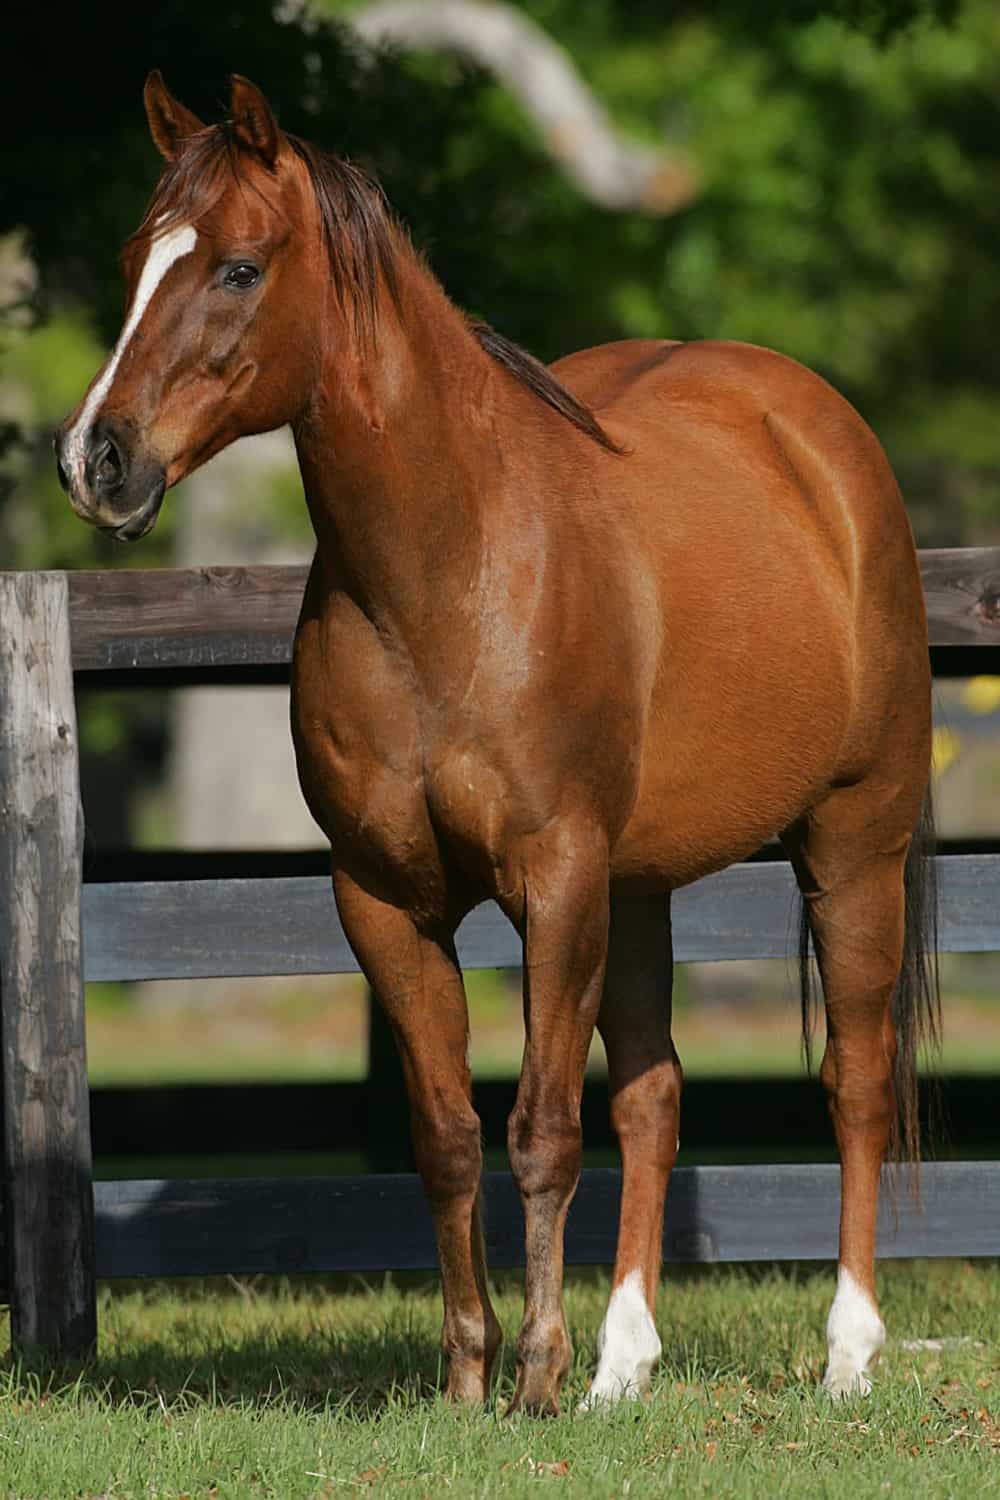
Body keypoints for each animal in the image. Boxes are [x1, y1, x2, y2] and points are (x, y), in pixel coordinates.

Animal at [56, 72, 939, 1415]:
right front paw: (471, 1380)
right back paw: (625, 1367)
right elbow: (446, 1135)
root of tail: (821, 438)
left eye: (240, 268)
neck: (449, 569)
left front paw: (533, 1375)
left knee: (852, 1079)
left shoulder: (555, 879)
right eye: (131, 260)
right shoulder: (383, 898)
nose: (95, 461)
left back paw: (845, 1354)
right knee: (655, 1096)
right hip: (641, 885)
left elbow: (539, 1131)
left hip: (851, 842)